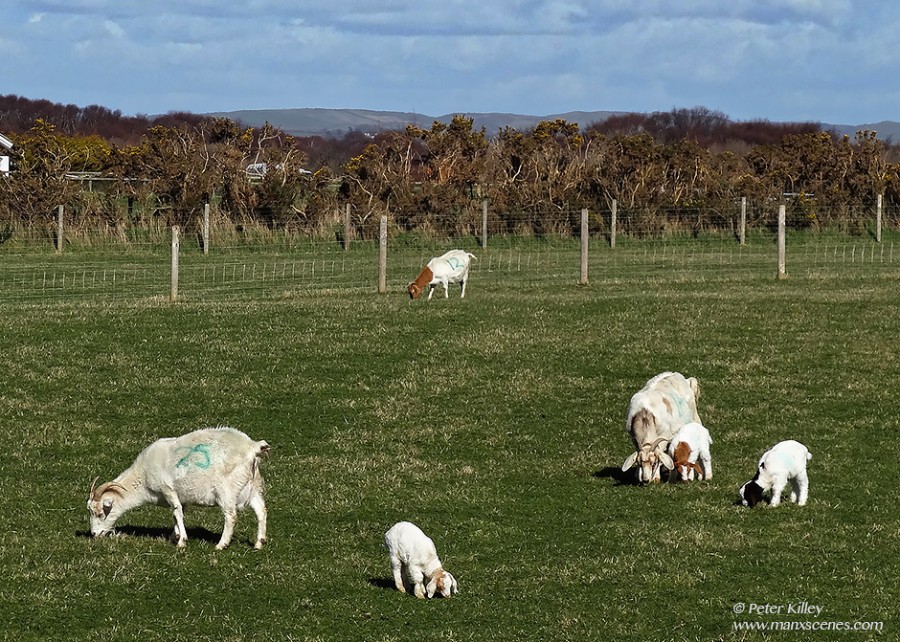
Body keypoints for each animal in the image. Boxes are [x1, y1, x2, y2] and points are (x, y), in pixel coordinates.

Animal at [87, 426, 269, 549]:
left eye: (100, 513)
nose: (94, 534)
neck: (142, 477)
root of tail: (252, 447)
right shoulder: (183, 496)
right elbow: (178, 514)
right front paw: (174, 536)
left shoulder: (168, 490)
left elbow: (176, 512)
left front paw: (181, 541)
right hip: (253, 487)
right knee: (261, 511)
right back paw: (259, 543)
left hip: (227, 491)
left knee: (231, 516)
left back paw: (221, 545)